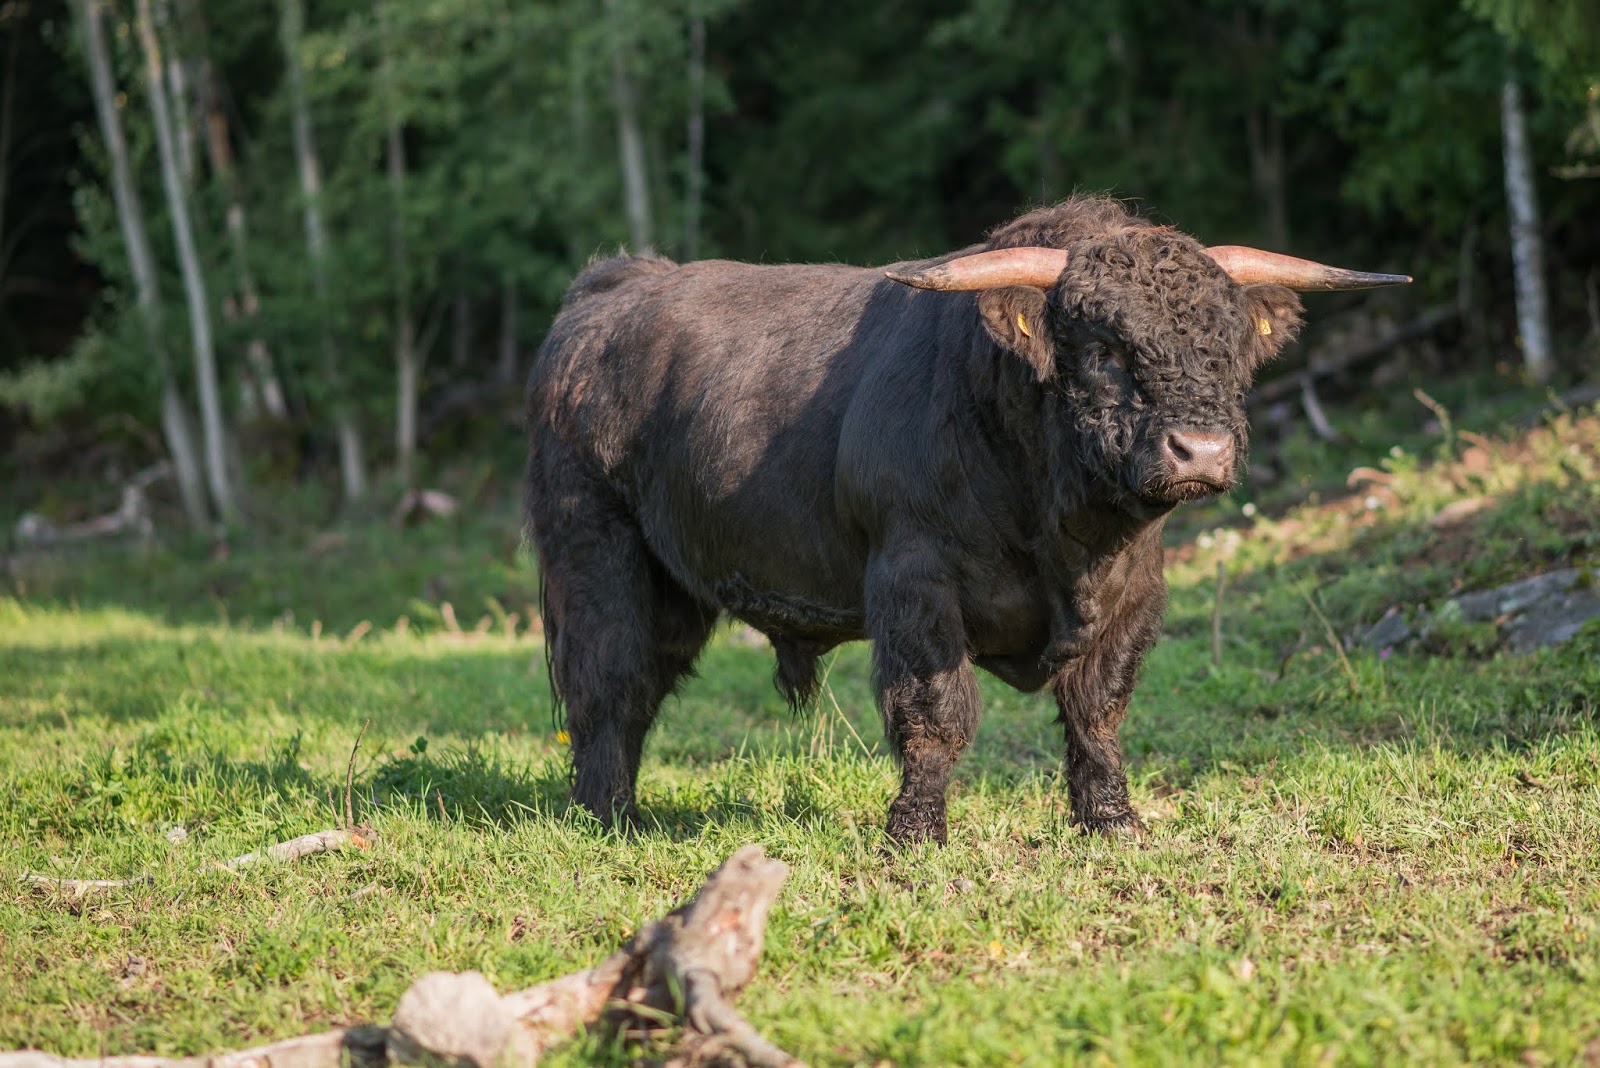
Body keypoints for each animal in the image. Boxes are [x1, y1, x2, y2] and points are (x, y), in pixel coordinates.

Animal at [524, 196, 1408, 845]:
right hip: (595, 551)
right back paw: (608, 819)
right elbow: (935, 712)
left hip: (675, 582)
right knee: (610, 680)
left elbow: (1098, 708)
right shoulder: (914, 583)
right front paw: (915, 833)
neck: (1065, 531)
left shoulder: (1137, 591)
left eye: (1227, 350)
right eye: (1104, 351)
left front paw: (1112, 822)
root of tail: (612, 286)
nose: (1202, 450)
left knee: (643, 681)